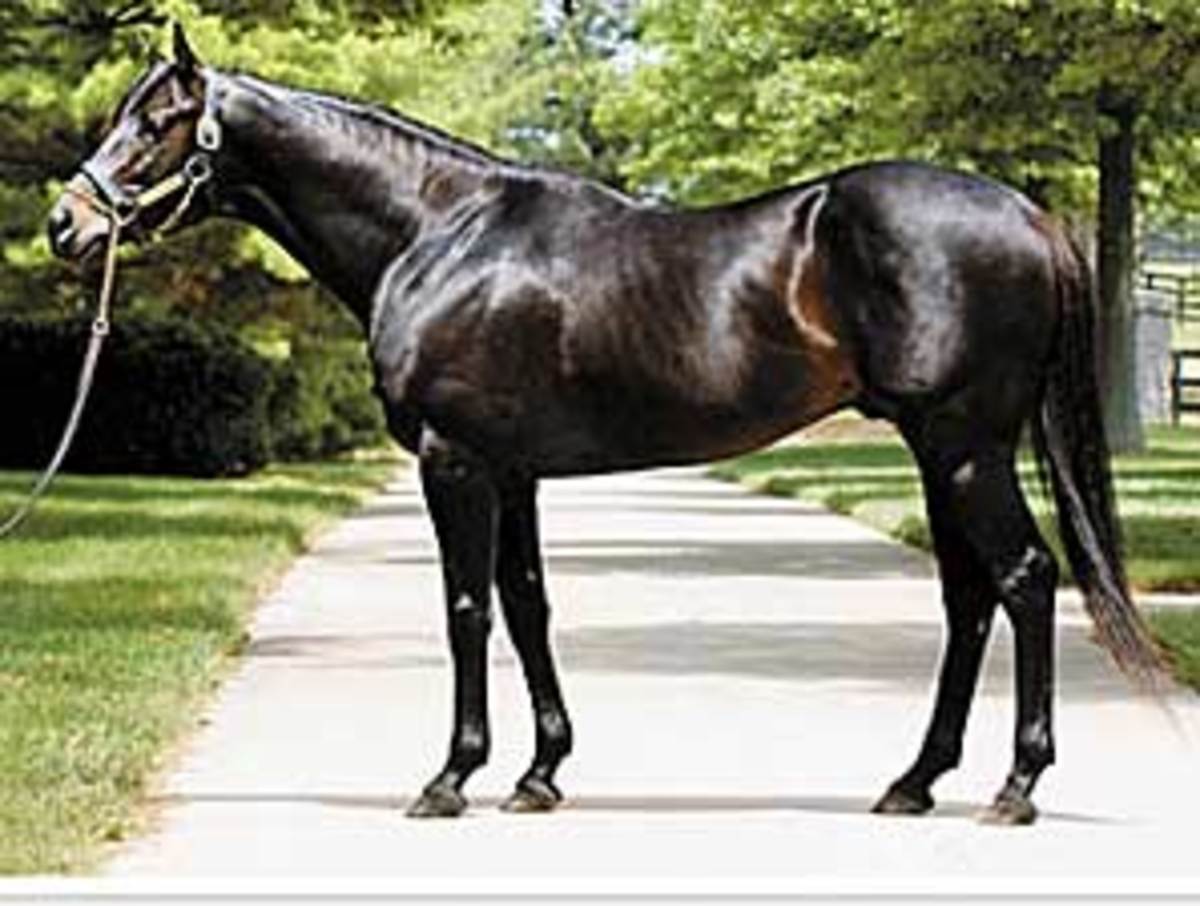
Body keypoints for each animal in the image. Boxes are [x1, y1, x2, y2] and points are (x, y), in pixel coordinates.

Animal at [49, 26, 1162, 826]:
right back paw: (915, 781)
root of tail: (1030, 216)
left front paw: (450, 779)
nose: (68, 224)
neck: (440, 232)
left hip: (964, 449)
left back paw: (1014, 790)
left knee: (1024, 582)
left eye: (159, 123)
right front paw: (539, 772)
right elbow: (529, 607)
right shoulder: (513, 472)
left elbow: (466, 612)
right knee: (969, 599)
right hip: (942, 455)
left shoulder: (457, 464)